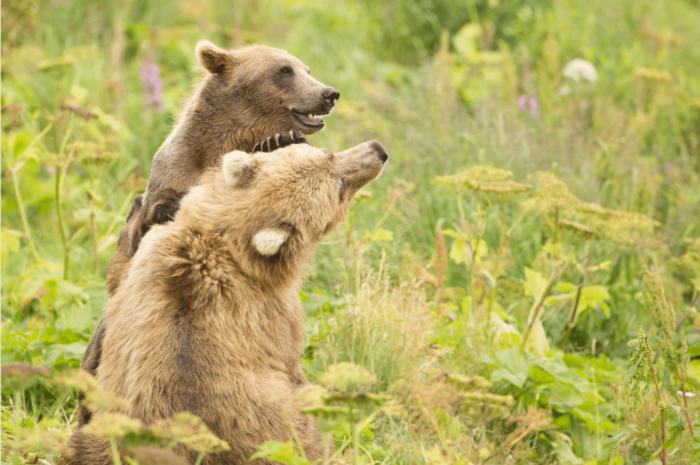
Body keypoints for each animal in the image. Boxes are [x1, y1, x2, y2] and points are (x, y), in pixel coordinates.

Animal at [65, 140, 389, 465]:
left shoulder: (144, 264)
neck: (221, 242)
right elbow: (292, 357)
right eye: (339, 188)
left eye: (326, 154)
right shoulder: (273, 311)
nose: (378, 150)